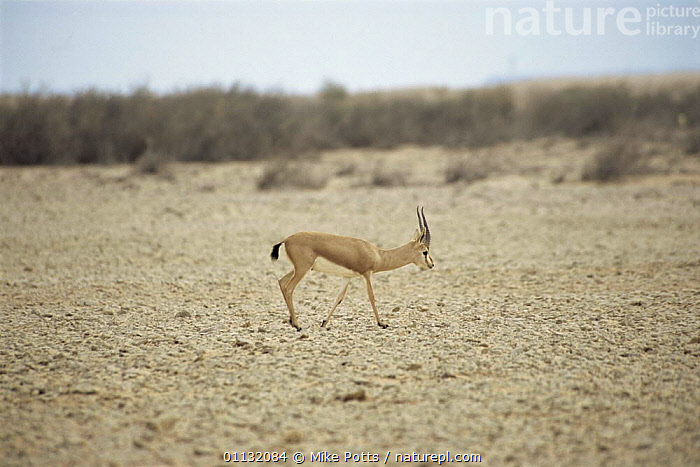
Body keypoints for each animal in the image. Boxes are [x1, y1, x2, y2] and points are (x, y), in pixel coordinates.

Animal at [271, 207, 434, 331]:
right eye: (425, 251)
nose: (431, 264)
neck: (378, 254)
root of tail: (287, 239)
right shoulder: (366, 274)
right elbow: (371, 296)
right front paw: (382, 323)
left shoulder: (347, 277)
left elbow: (339, 298)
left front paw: (324, 322)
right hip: (303, 269)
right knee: (289, 288)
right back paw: (297, 325)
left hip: (299, 269)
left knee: (282, 282)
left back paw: (291, 321)